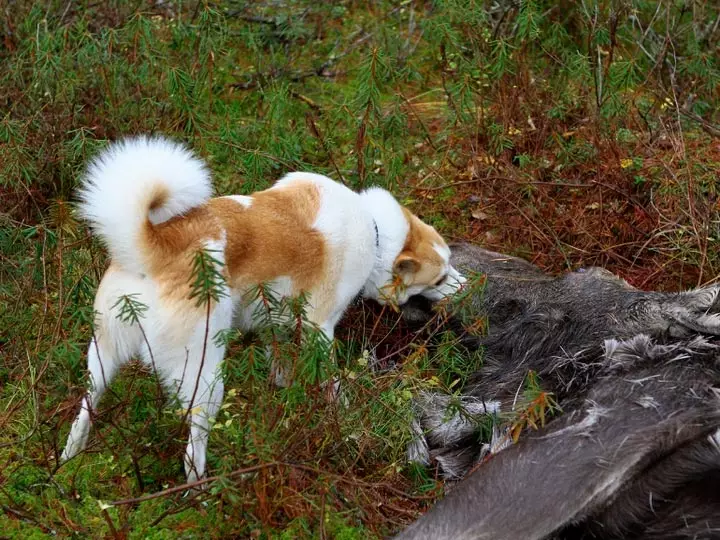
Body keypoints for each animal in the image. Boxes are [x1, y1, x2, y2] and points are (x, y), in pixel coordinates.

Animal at [63, 135, 466, 480]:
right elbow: (334, 384)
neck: (376, 231)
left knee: (84, 410)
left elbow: (280, 365)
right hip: (205, 377)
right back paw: (201, 493)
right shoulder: (320, 329)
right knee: (193, 449)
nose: (469, 286)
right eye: (440, 279)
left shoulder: (277, 322)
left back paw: (68, 461)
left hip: (102, 361)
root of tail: (157, 246)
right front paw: (346, 417)